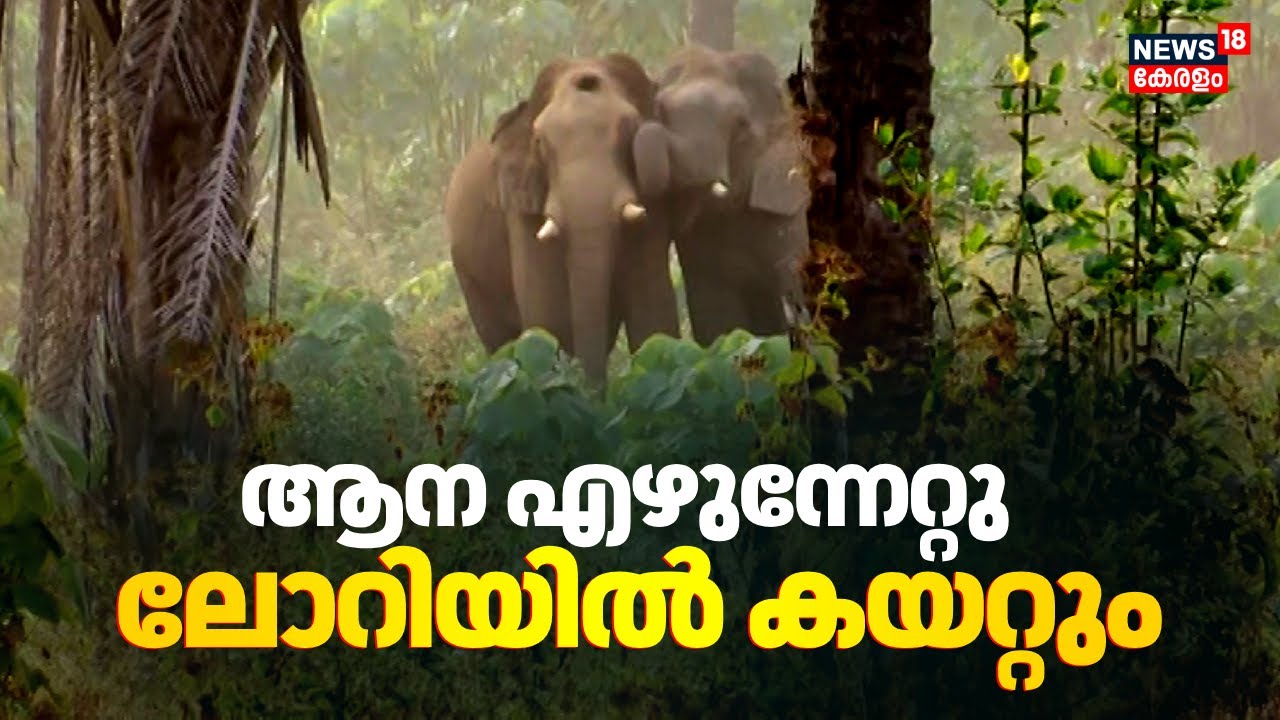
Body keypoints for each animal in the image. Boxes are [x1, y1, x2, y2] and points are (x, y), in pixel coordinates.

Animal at [444, 53, 681, 386]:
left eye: (629, 129)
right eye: (539, 142)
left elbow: (652, 309)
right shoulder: (523, 209)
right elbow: (548, 317)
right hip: (468, 274)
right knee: (499, 341)